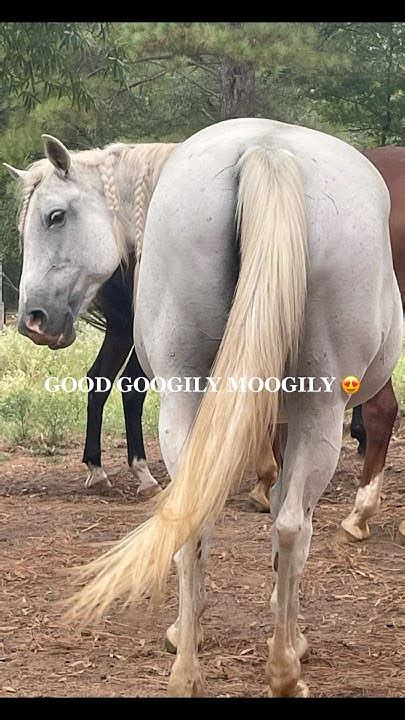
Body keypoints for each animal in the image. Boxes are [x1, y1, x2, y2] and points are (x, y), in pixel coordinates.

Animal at [5, 118, 402, 697]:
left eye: (55, 216)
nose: (32, 318)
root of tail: (265, 151)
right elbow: (280, 510)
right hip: (316, 410)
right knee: (293, 522)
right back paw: (283, 667)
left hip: (191, 402)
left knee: (199, 512)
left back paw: (192, 671)